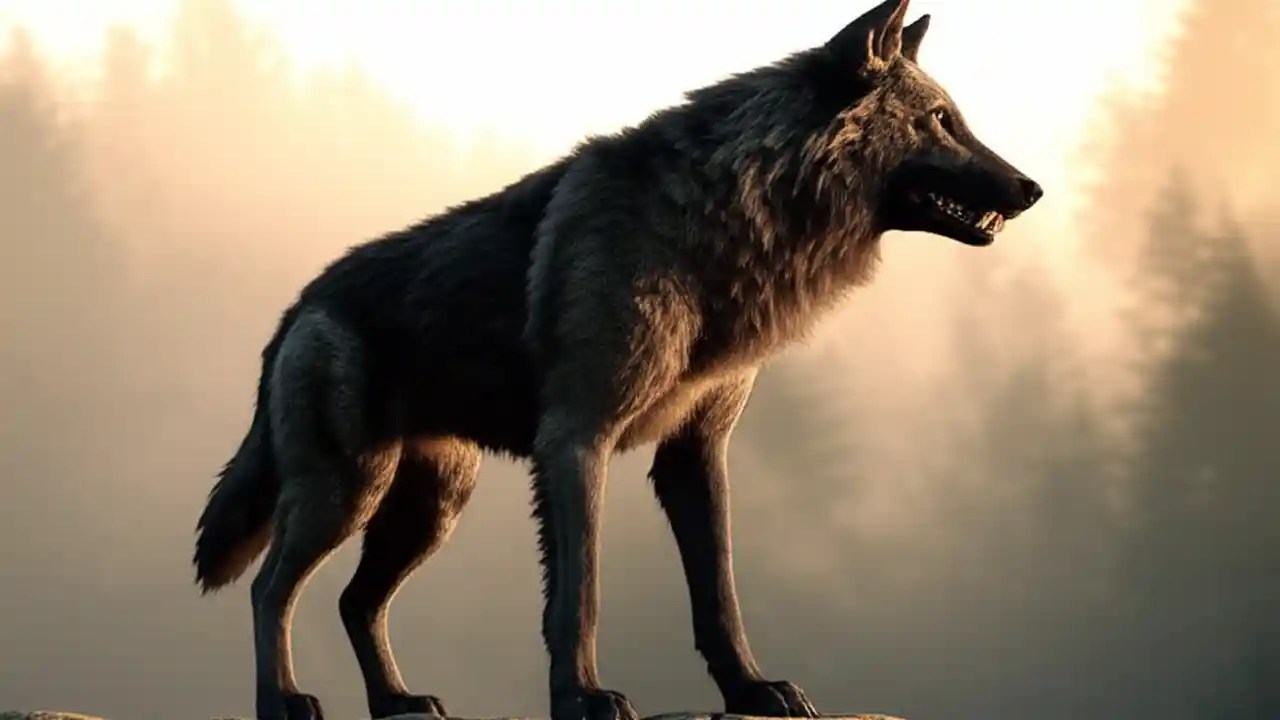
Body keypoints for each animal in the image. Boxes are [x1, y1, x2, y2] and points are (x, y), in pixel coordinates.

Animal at [192, 1, 1042, 719]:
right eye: (941, 121)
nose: (1032, 188)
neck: (725, 221)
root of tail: (300, 304)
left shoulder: (697, 452)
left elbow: (720, 593)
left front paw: (752, 689)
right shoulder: (578, 439)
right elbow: (580, 593)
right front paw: (583, 697)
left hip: (429, 509)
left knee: (354, 602)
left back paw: (399, 703)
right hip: (346, 494)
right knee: (270, 590)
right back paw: (284, 702)